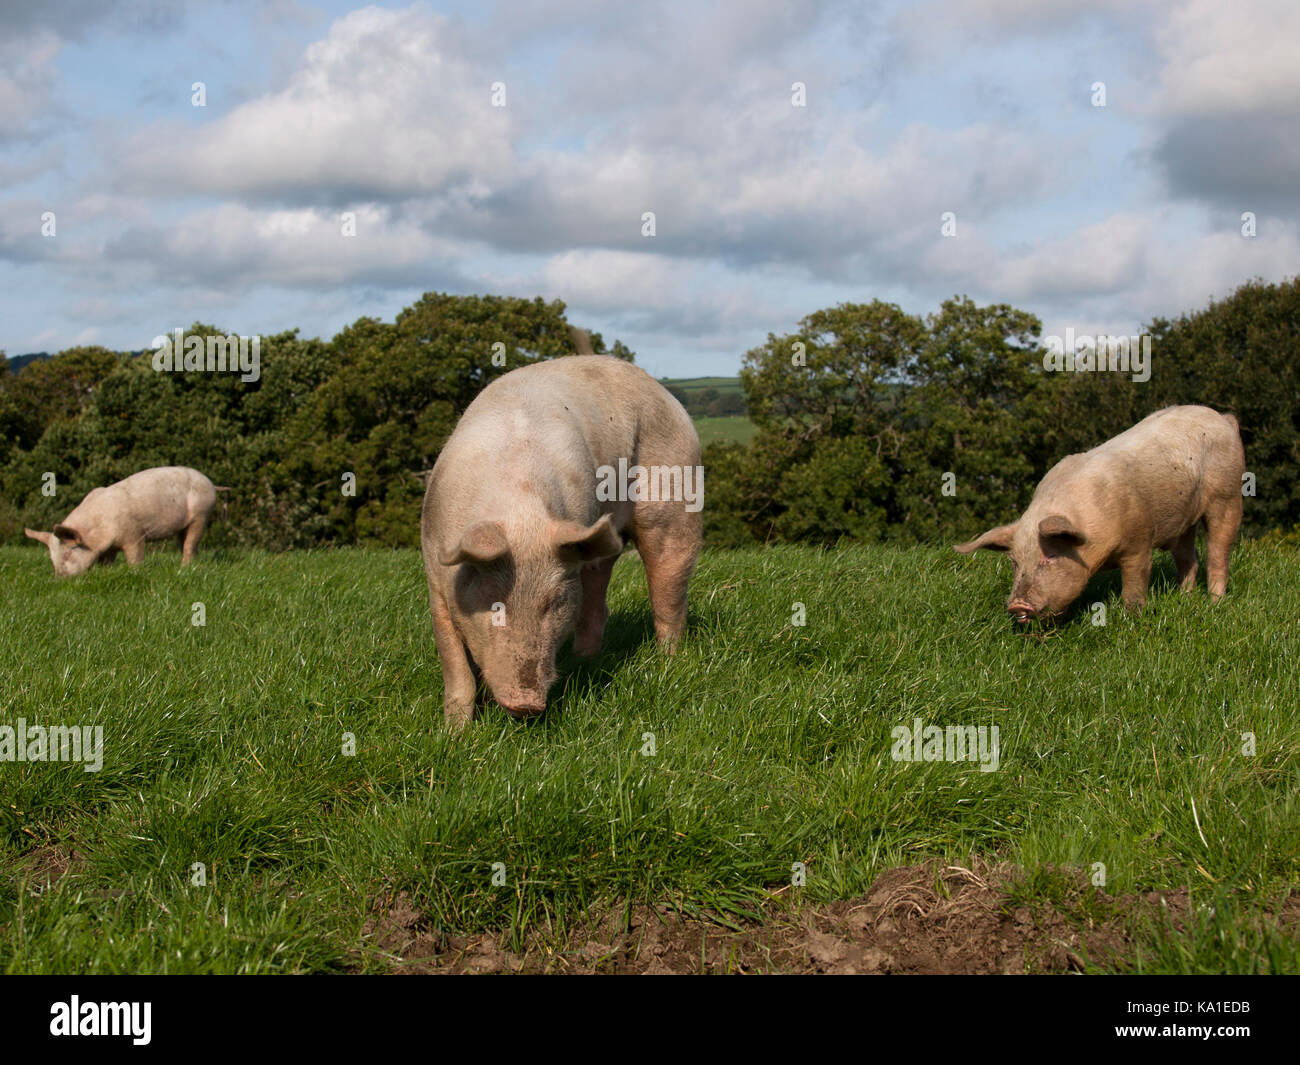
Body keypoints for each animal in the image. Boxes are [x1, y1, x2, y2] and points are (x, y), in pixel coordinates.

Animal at [25, 466, 223, 576]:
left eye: (68, 553)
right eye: (52, 557)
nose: (60, 580)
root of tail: (211, 484)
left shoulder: (134, 534)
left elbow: (135, 557)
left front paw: (137, 571)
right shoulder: (110, 547)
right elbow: (107, 561)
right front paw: (105, 571)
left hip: (201, 515)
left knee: (190, 545)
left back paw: (184, 568)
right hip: (187, 525)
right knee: (189, 544)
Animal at [421, 338, 702, 730]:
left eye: (553, 603)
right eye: (493, 604)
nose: (526, 704)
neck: (520, 510)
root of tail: (666, 394)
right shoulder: (435, 573)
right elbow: (454, 665)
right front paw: (454, 734)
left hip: (674, 503)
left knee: (669, 595)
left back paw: (667, 665)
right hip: (597, 541)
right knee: (598, 598)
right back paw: (585, 663)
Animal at [955, 406, 1244, 622]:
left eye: (1051, 555)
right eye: (1015, 562)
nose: (1017, 605)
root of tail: (1223, 419)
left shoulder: (1139, 540)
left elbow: (1134, 587)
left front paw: (1131, 620)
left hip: (1227, 495)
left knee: (1218, 554)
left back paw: (1214, 604)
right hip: (1185, 520)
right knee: (1189, 558)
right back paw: (1184, 597)